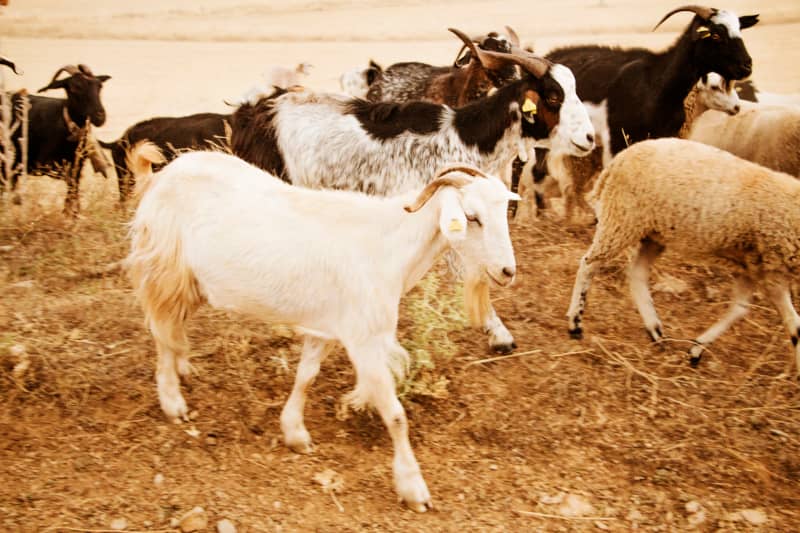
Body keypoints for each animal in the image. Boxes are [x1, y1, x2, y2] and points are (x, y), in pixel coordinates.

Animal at [3, 64, 111, 215]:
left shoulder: (76, 169)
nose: (100, 116)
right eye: (75, 87)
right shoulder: (43, 165)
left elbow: (72, 193)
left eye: (99, 85)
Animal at [127, 143, 519, 512]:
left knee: (172, 329)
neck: (388, 247)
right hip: (166, 268)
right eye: (472, 217)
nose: (507, 272)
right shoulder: (365, 339)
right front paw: (413, 488)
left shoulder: (327, 328)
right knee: (161, 330)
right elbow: (395, 415)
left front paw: (295, 432)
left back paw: (182, 366)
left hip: (190, 281)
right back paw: (172, 400)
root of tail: (161, 175)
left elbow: (307, 376)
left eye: (503, 211)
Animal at [230, 47, 594, 353]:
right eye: (553, 96)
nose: (589, 138)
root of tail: (254, 112)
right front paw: (499, 334)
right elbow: (464, 268)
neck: (465, 137)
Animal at [567, 138, 800, 371]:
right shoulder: (771, 269)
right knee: (589, 264)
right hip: (623, 219)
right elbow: (793, 324)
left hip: (653, 234)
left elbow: (741, 309)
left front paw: (696, 349)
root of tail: (620, 158)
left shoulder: (751, 267)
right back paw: (575, 323)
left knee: (636, 273)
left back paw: (655, 331)